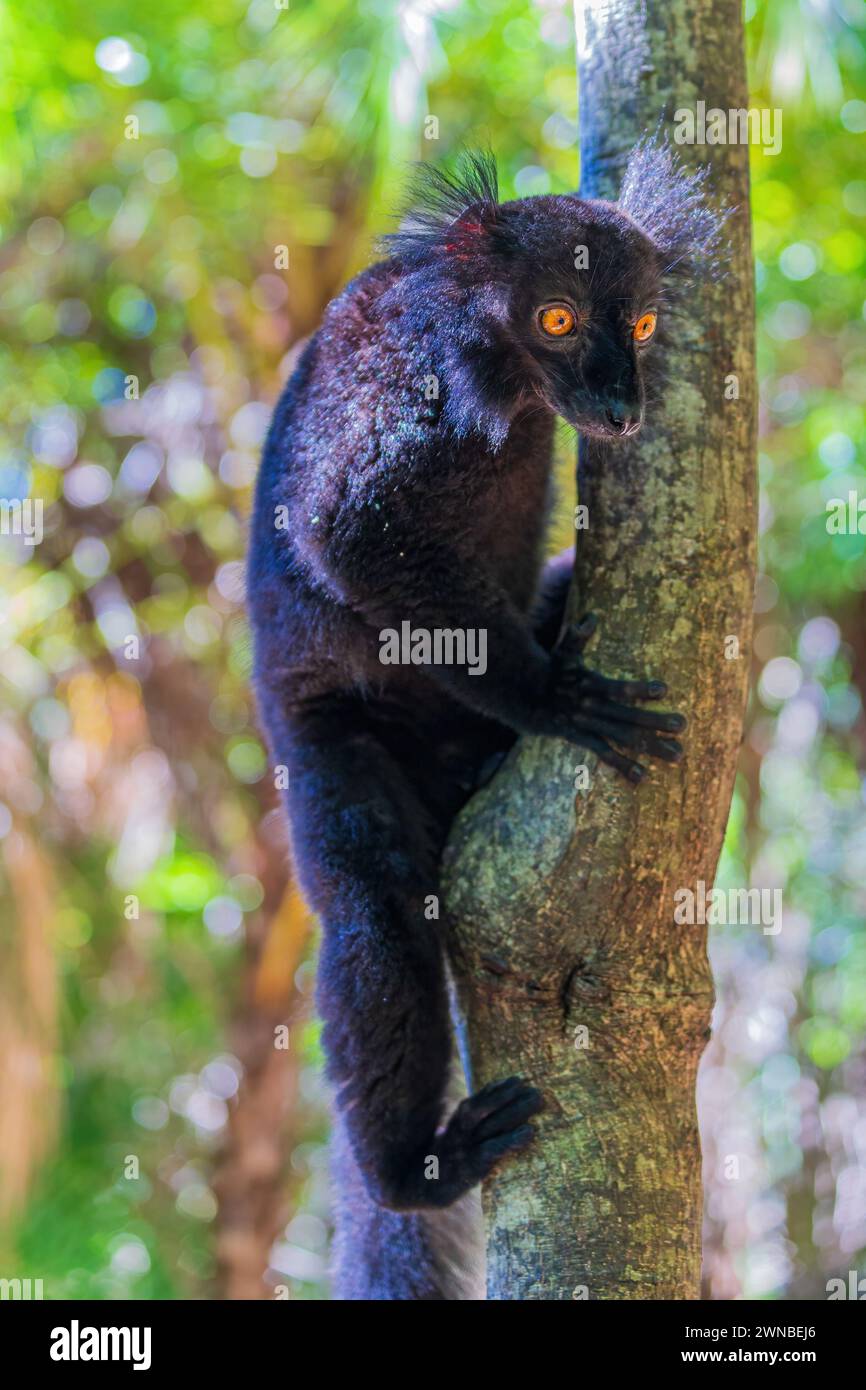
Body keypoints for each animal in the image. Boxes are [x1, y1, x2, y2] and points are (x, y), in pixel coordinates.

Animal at [247, 140, 722, 1299]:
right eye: (556, 318)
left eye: (644, 322)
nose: (622, 409)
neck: (501, 375)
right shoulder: (402, 387)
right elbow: (351, 528)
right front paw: (548, 697)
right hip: (325, 741)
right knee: (376, 907)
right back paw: (416, 1167)